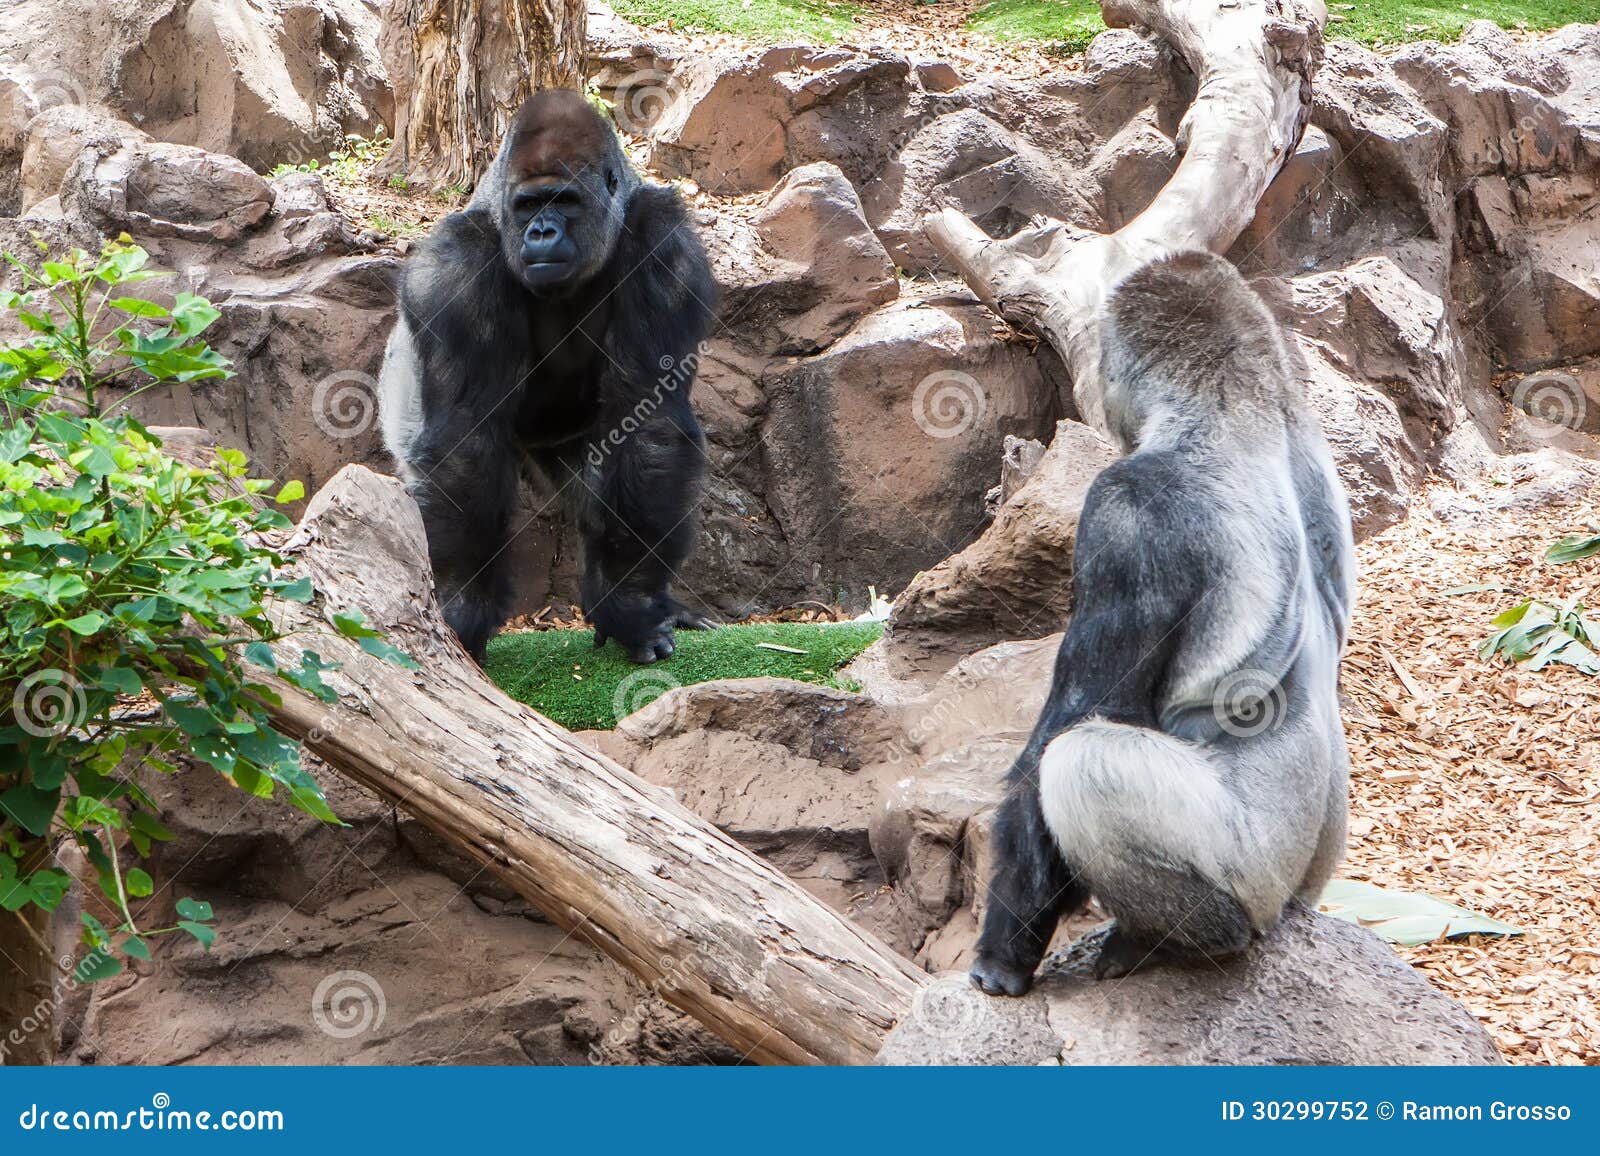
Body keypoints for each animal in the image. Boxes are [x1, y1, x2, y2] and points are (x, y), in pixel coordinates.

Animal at [969, 249, 1355, 995]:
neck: (1240, 409)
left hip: (1254, 883)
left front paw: (1002, 956)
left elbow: (1076, 722)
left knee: (1082, 764)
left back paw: (1176, 942)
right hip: (1309, 882)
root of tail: (1284, 908)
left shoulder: (1123, 510)